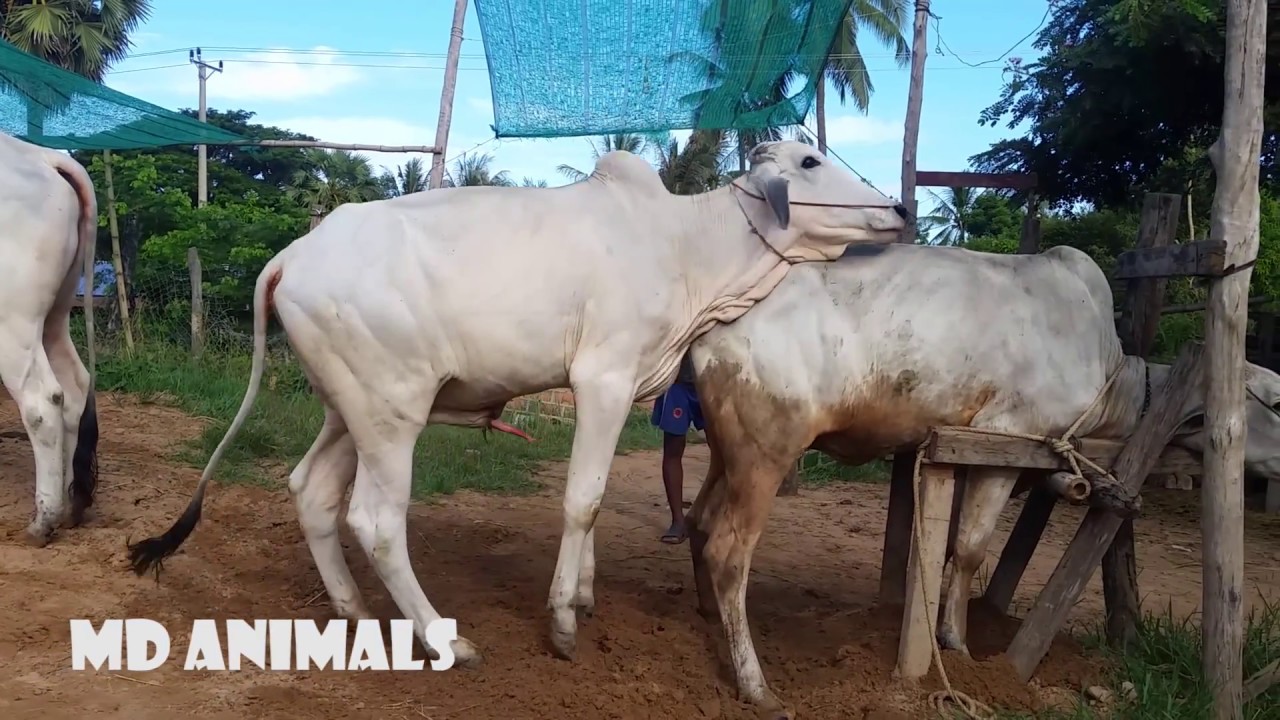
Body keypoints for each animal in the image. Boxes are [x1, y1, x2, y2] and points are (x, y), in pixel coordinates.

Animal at [124, 141, 908, 667]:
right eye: (810, 160)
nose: (900, 207)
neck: (687, 250)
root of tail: (293, 255)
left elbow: (593, 504)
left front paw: (585, 596)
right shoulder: (603, 376)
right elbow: (583, 500)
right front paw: (562, 622)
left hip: (348, 410)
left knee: (311, 490)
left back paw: (355, 612)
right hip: (391, 411)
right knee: (375, 520)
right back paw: (443, 638)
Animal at [681, 242, 1280, 718]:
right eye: (1273, 400)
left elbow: (954, 550)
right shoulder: (1004, 442)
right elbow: (970, 550)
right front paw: (957, 645)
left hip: (727, 452)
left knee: (699, 521)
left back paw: (708, 617)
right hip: (768, 451)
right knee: (728, 552)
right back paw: (756, 685)